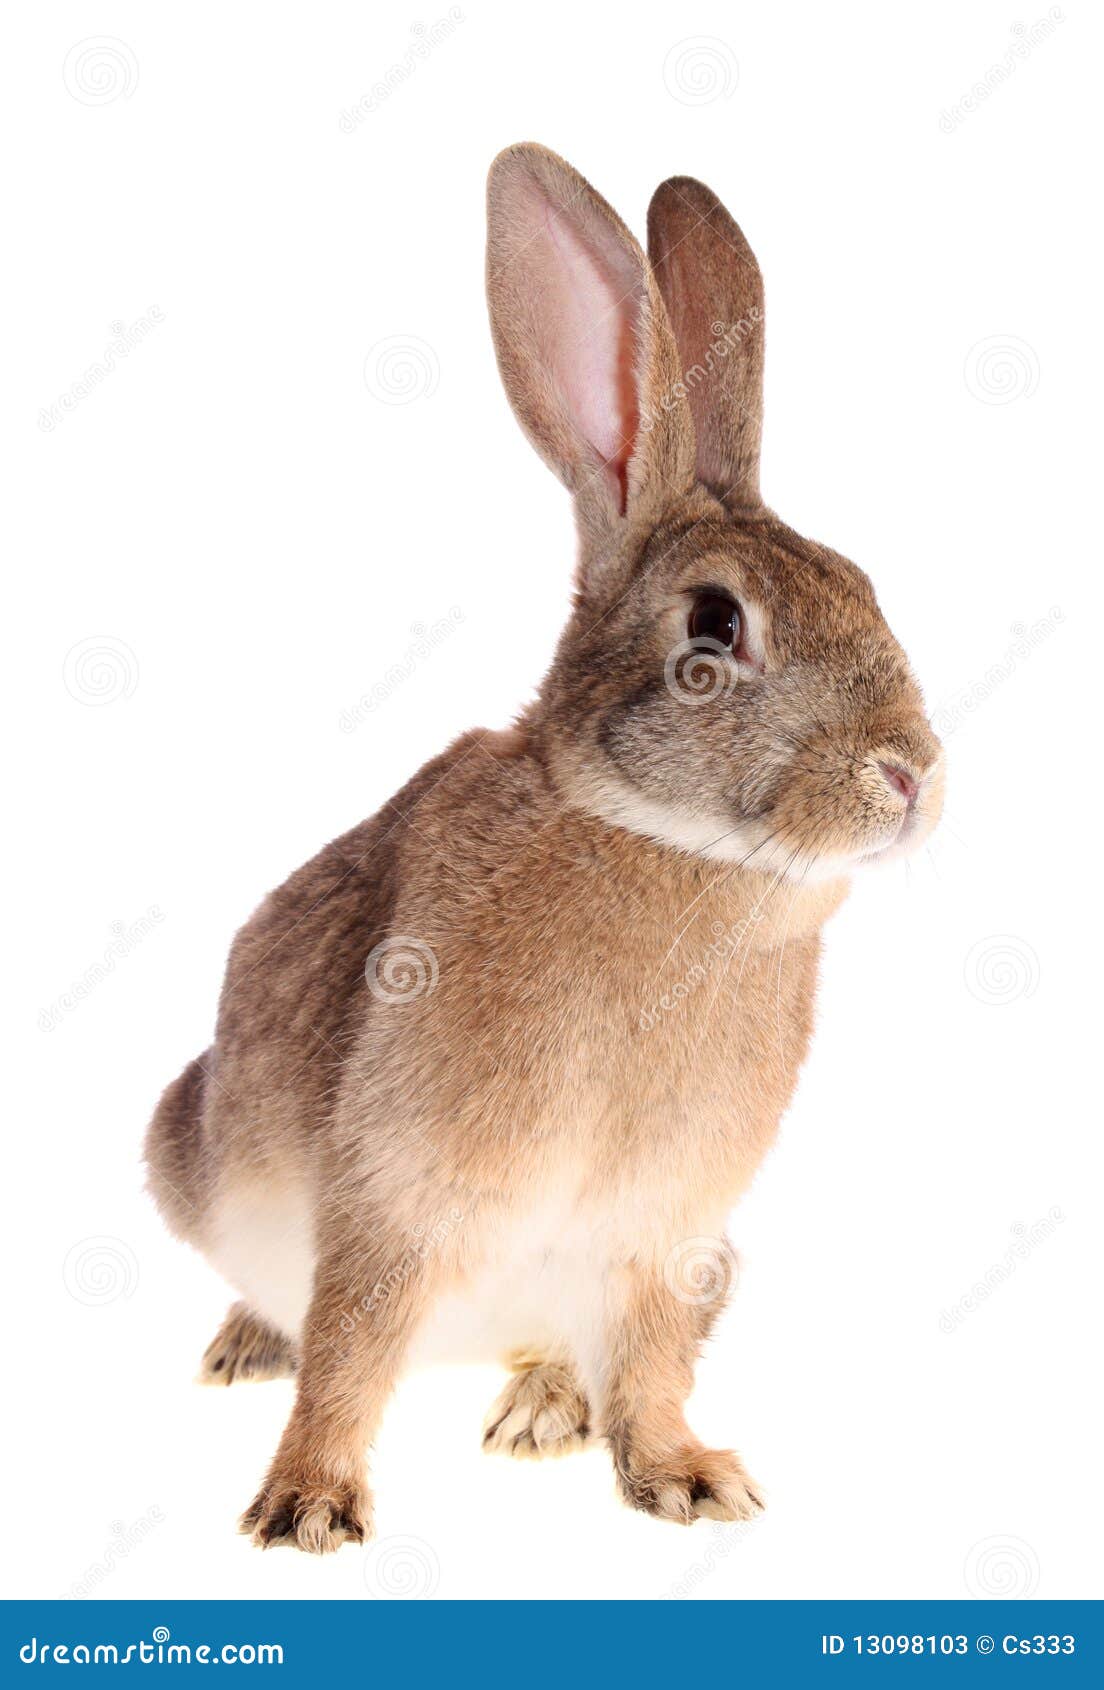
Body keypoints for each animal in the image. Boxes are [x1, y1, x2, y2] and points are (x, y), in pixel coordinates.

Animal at [145, 142, 944, 1553]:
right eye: (715, 623)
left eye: (861, 583)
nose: (910, 771)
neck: (669, 853)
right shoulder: (390, 1194)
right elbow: (350, 1347)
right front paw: (305, 1509)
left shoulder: (667, 1235)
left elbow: (655, 1363)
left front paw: (687, 1479)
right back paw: (248, 1347)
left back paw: (540, 1408)